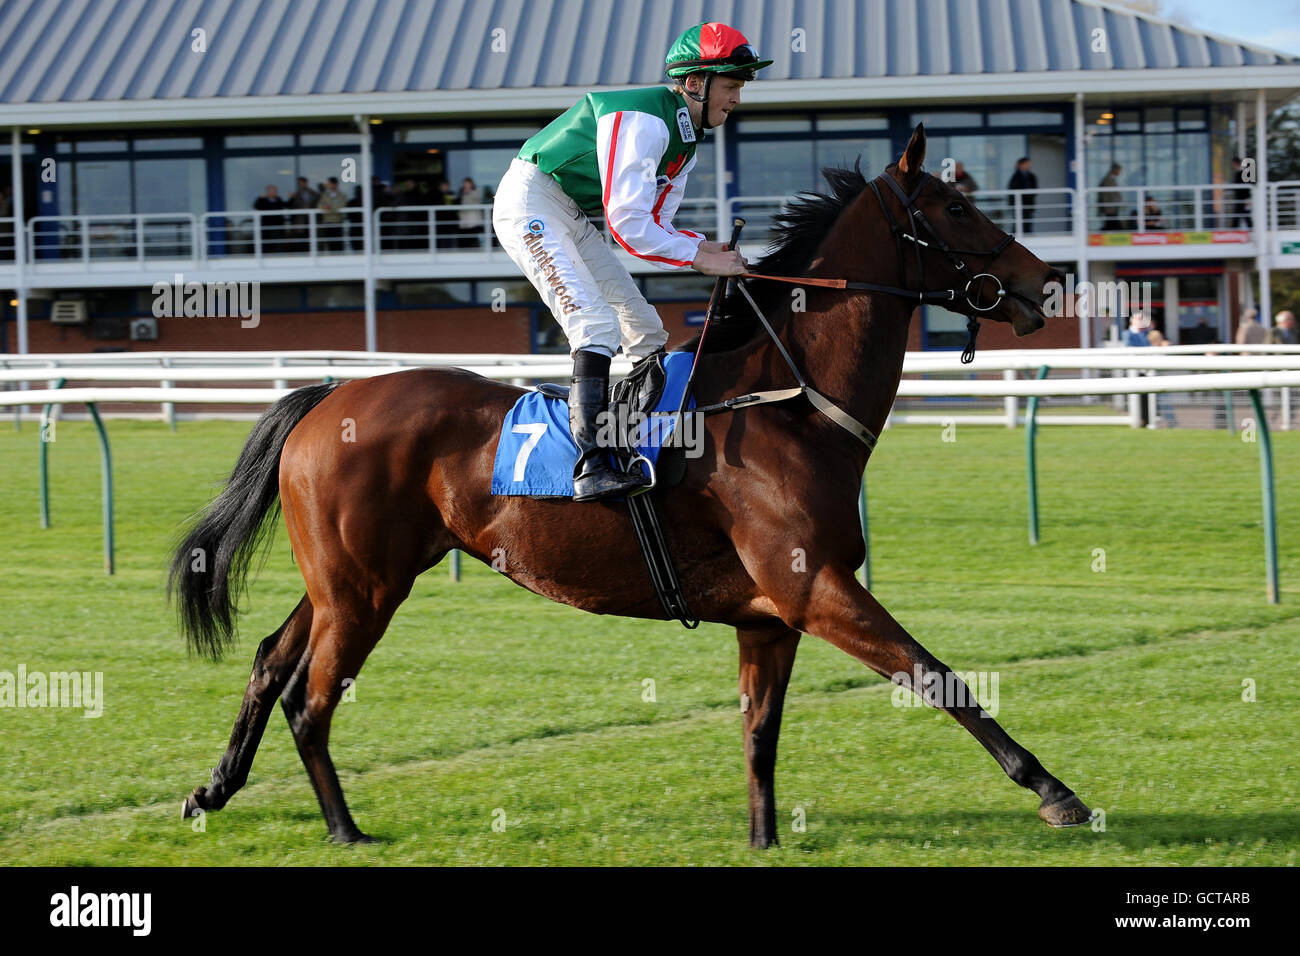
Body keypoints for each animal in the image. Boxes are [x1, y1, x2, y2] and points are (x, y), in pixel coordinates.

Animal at [172, 125, 1092, 848]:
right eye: (958, 208)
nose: (1048, 281)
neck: (788, 404)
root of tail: (330, 395)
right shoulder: (815, 589)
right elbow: (939, 677)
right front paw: (1055, 791)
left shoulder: (768, 615)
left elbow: (761, 732)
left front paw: (764, 839)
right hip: (365, 588)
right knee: (311, 699)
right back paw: (344, 828)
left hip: (347, 578)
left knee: (270, 659)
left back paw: (213, 788)